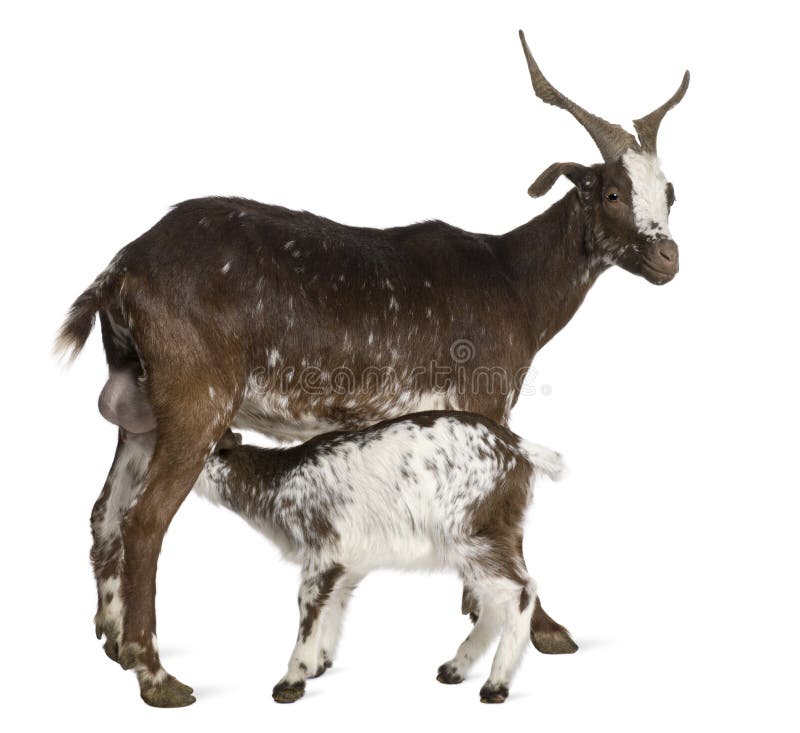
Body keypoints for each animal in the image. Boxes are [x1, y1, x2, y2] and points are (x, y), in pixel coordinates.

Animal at [193, 417, 564, 705]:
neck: (280, 483)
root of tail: (520, 448)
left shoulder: (323, 552)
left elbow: (308, 608)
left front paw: (292, 680)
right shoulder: (348, 562)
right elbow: (335, 603)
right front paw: (320, 663)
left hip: (473, 533)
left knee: (521, 590)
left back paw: (495, 685)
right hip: (484, 540)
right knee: (494, 600)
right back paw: (454, 668)